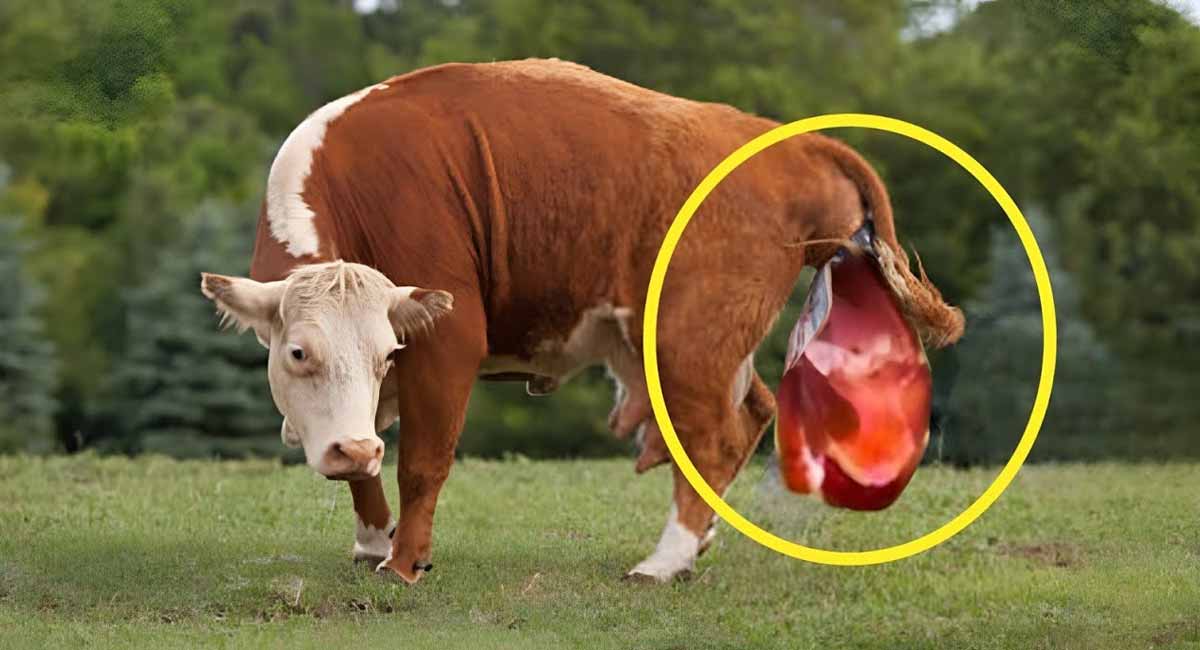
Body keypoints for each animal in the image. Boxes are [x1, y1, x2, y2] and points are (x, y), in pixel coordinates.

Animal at [200, 58, 963, 584]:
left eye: (389, 353)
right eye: (298, 353)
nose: (350, 449)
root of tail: (787, 143)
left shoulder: (448, 340)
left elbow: (422, 460)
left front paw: (404, 562)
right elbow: (366, 462)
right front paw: (370, 541)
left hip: (688, 339)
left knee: (712, 437)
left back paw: (664, 562)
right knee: (752, 413)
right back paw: (698, 541)